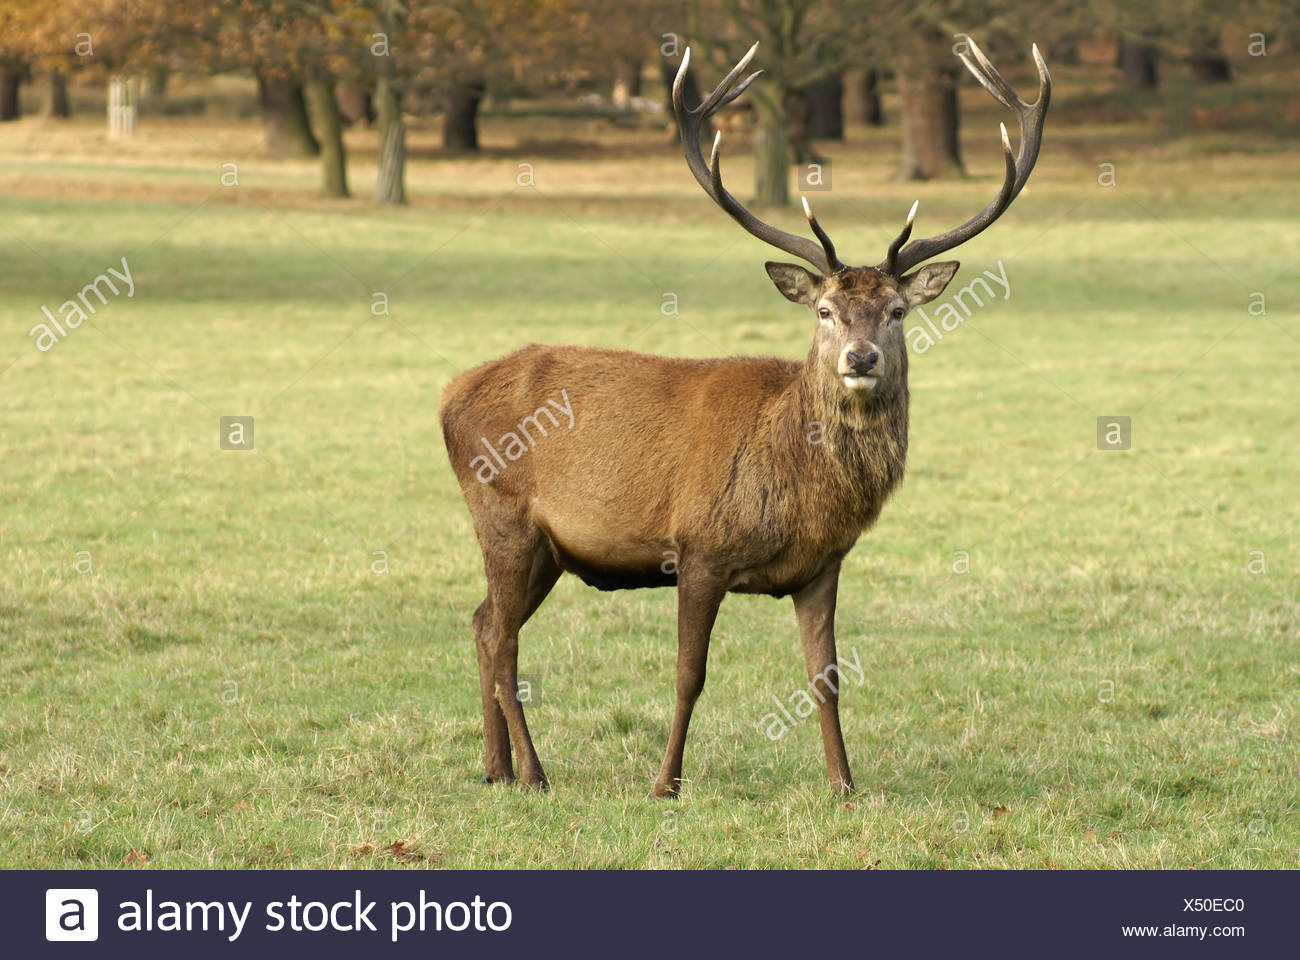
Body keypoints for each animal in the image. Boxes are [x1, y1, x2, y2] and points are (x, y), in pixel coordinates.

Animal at [439, 36, 1050, 797]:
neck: (798, 484)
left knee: (482, 620)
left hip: (550, 548)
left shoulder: (822, 566)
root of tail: (449, 395)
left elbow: (827, 679)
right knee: (502, 636)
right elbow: (688, 675)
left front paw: (844, 786)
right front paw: (665, 784)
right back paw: (534, 772)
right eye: (825, 310)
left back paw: (495, 768)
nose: (861, 357)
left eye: (896, 311)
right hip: (503, 514)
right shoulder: (699, 547)